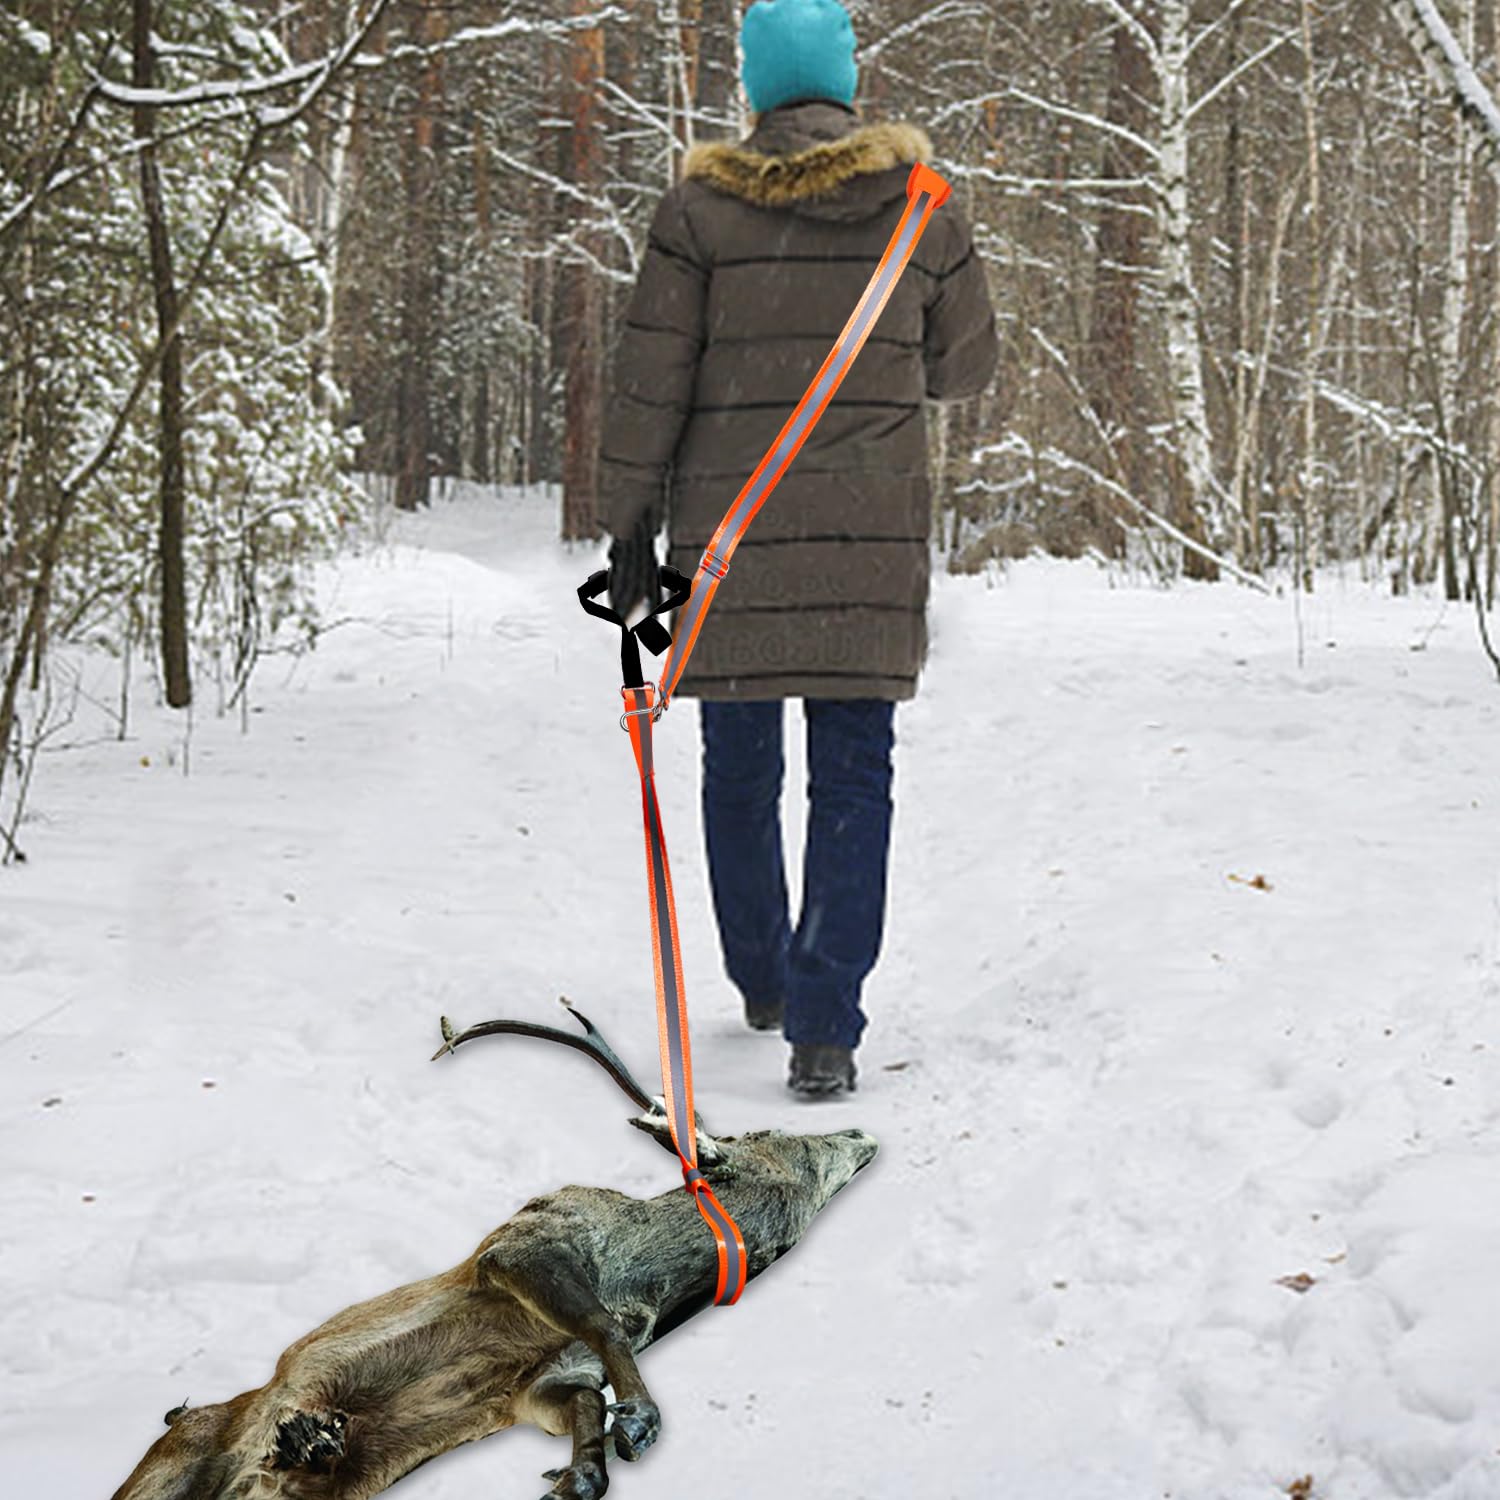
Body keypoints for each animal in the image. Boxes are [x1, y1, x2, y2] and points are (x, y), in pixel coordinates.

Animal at [108, 999, 879, 1500]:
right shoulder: (521, 1245)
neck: (644, 1281)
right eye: (775, 1136)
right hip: (175, 1456)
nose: (863, 1133)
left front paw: (581, 1472)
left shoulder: (538, 1385)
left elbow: (579, 1401)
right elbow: (598, 1325)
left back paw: (309, 1441)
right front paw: (640, 1419)